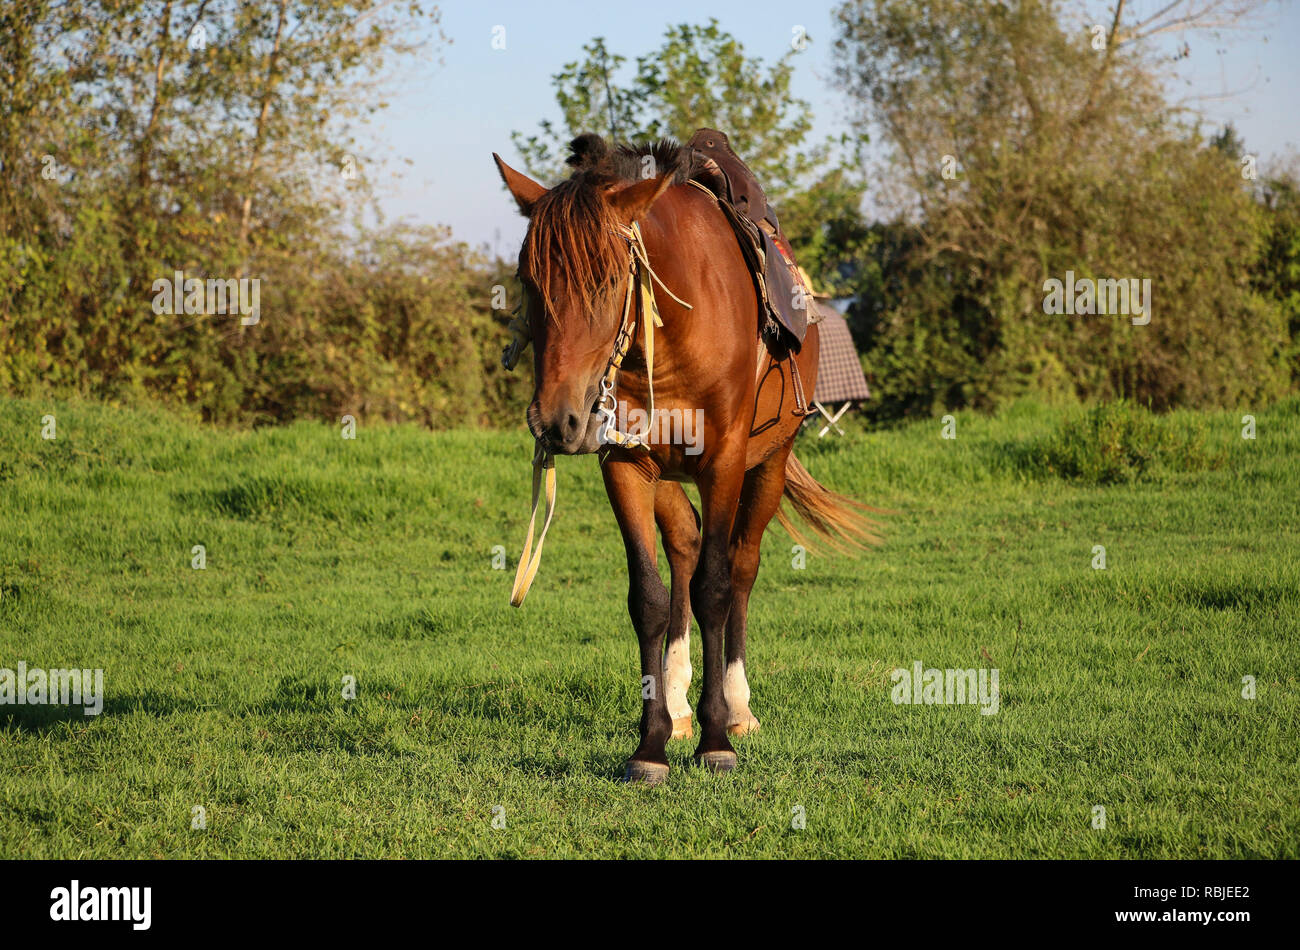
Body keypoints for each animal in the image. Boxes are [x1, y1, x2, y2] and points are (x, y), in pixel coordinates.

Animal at [493, 135, 876, 784]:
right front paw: (650, 743)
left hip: (769, 462)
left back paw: (737, 708)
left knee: (739, 565)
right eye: (527, 281)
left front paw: (717, 740)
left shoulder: (723, 462)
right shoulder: (624, 465)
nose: (557, 419)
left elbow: (716, 588)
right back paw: (675, 706)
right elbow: (648, 597)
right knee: (684, 547)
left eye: (609, 279)